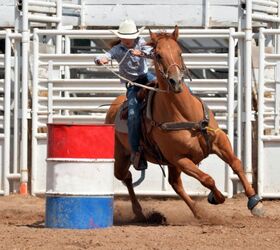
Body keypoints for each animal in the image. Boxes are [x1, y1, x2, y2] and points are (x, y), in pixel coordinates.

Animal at [105, 25, 264, 221]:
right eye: (158, 55)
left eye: (179, 52)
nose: (175, 81)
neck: (185, 113)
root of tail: (113, 107)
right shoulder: (179, 158)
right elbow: (207, 178)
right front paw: (216, 197)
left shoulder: (219, 140)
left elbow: (236, 163)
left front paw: (255, 202)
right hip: (122, 156)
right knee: (126, 176)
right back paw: (140, 212)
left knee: (174, 183)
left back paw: (197, 211)